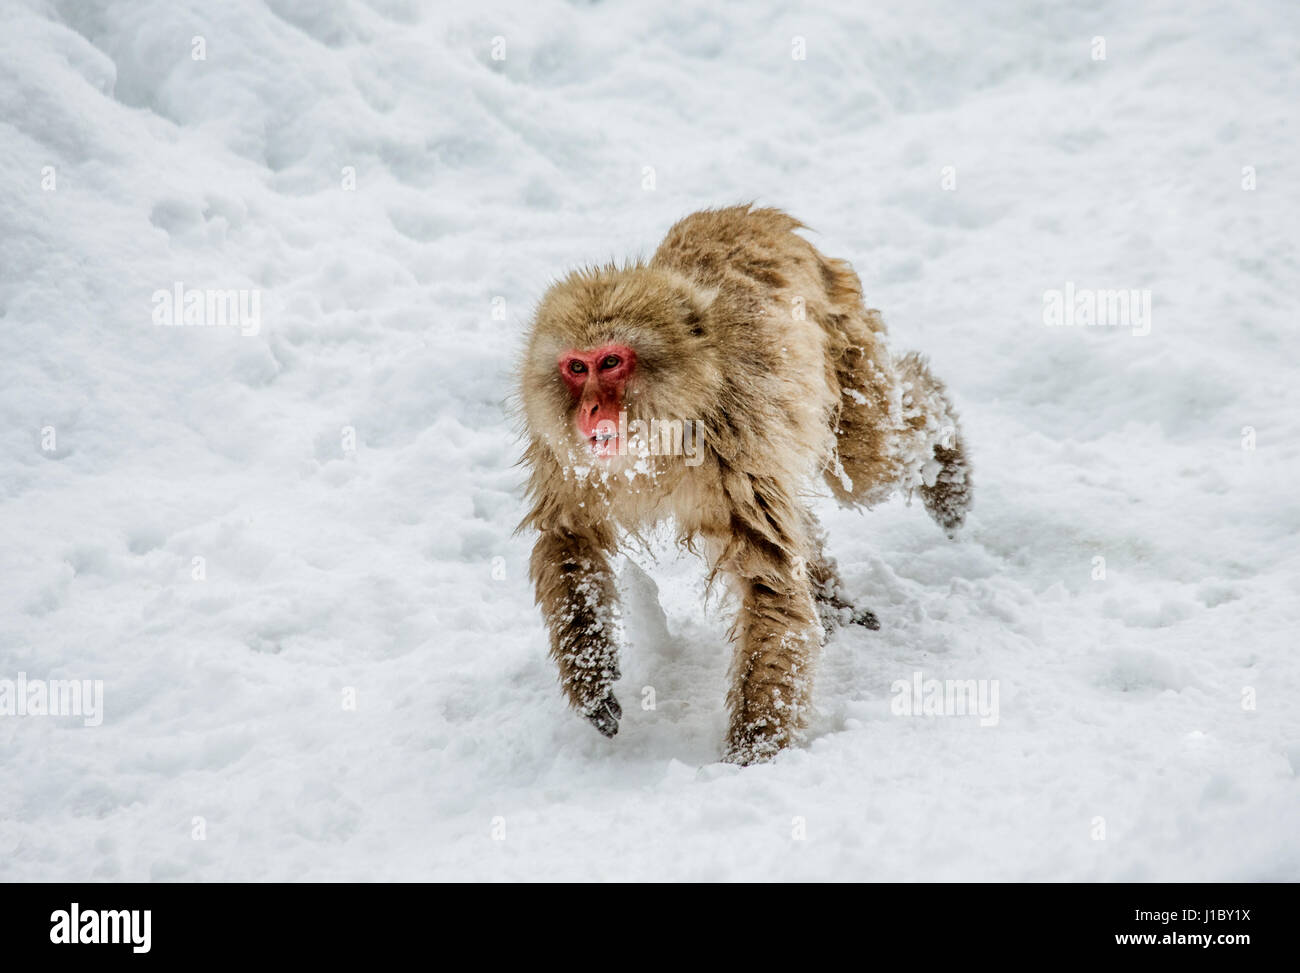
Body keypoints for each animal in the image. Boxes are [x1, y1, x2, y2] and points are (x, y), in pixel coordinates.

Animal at [517, 204, 971, 765]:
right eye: (576, 367)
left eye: (611, 362)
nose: (591, 409)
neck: (663, 441)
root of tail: (754, 215)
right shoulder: (565, 459)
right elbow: (569, 540)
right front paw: (591, 676)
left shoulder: (735, 451)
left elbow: (768, 587)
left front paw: (752, 754)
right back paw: (833, 603)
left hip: (845, 343)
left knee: (872, 458)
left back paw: (946, 462)